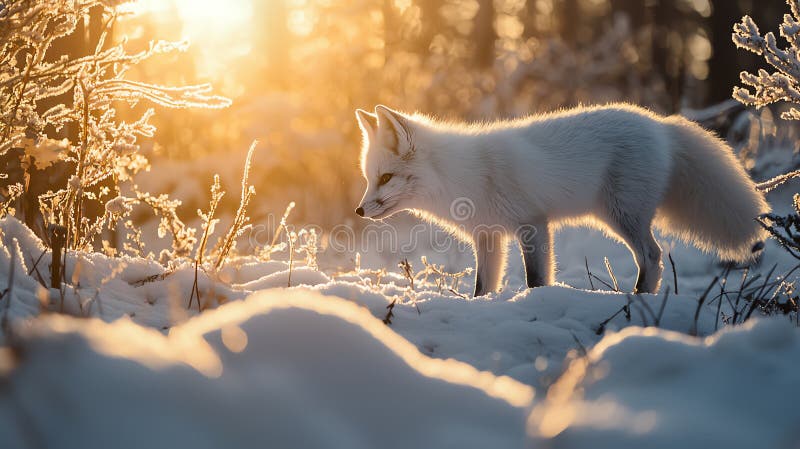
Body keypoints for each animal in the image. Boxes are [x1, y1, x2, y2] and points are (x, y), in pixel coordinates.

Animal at [354, 104, 770, 297]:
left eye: (386, 178)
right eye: (369, 179)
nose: (359, 209)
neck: (465, 175)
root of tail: (661, 122)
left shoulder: (533, 223)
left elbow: (537, 279)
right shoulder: (489, 236)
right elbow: (483, 286)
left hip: (622, 216)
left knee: (652, 256)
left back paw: (638, 298)